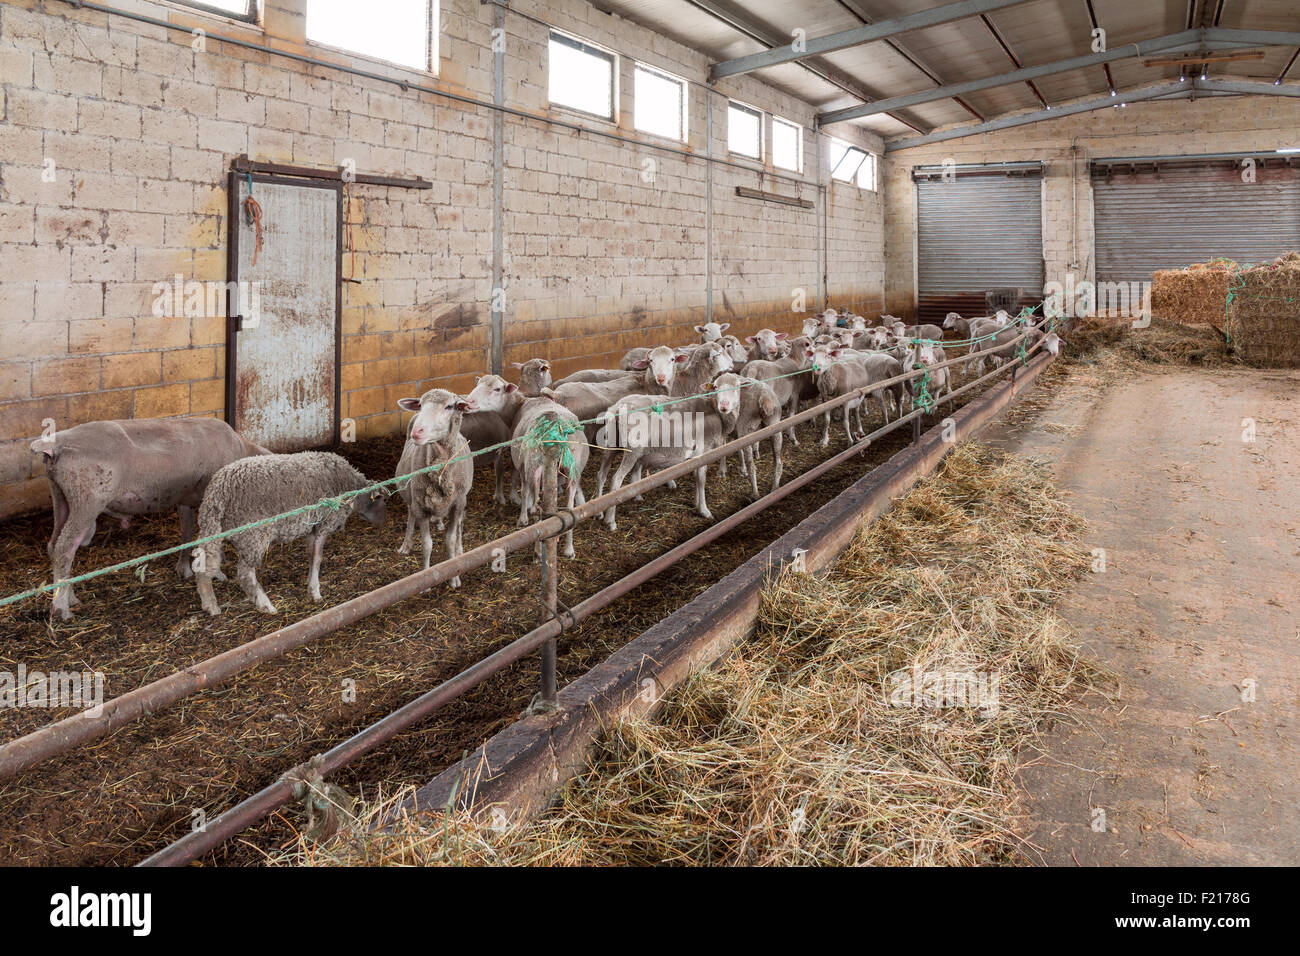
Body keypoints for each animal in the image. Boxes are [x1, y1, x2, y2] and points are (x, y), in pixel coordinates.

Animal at [30, 418, 269, 621]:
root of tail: (56, 445)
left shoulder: (184, 499)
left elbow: (186, 533)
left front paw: (184, 568)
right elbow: (210, 539)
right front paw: (216, 571)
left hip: (61, 499)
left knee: (53, 546)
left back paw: (67, 595)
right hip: (87, 500)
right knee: (65, 549)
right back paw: (61, 607)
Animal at [194, 452, 387, 616]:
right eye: (383, 500)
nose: (384, 520)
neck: (352, 490)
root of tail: (217, 490)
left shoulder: (312, 527)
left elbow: (311, 556)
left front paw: (310, 585)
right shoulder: (325, 524)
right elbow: (318, 557)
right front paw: (315, 591)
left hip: (216, 530)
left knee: (204, 563)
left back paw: (209, 600)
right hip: (253, 534)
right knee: (244, 574)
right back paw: (262, 604)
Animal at [394, 388, 474, 587]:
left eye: (449, 406)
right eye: (421, 405)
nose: (417, 432)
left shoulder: (457, 504)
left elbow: (450, 540)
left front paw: (454, 576)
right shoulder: (420, 506)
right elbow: (426, 545)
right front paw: (425, 580)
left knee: (458, 526)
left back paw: (460, 548)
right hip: (411, 496)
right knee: (410, 515)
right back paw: (406, 544)